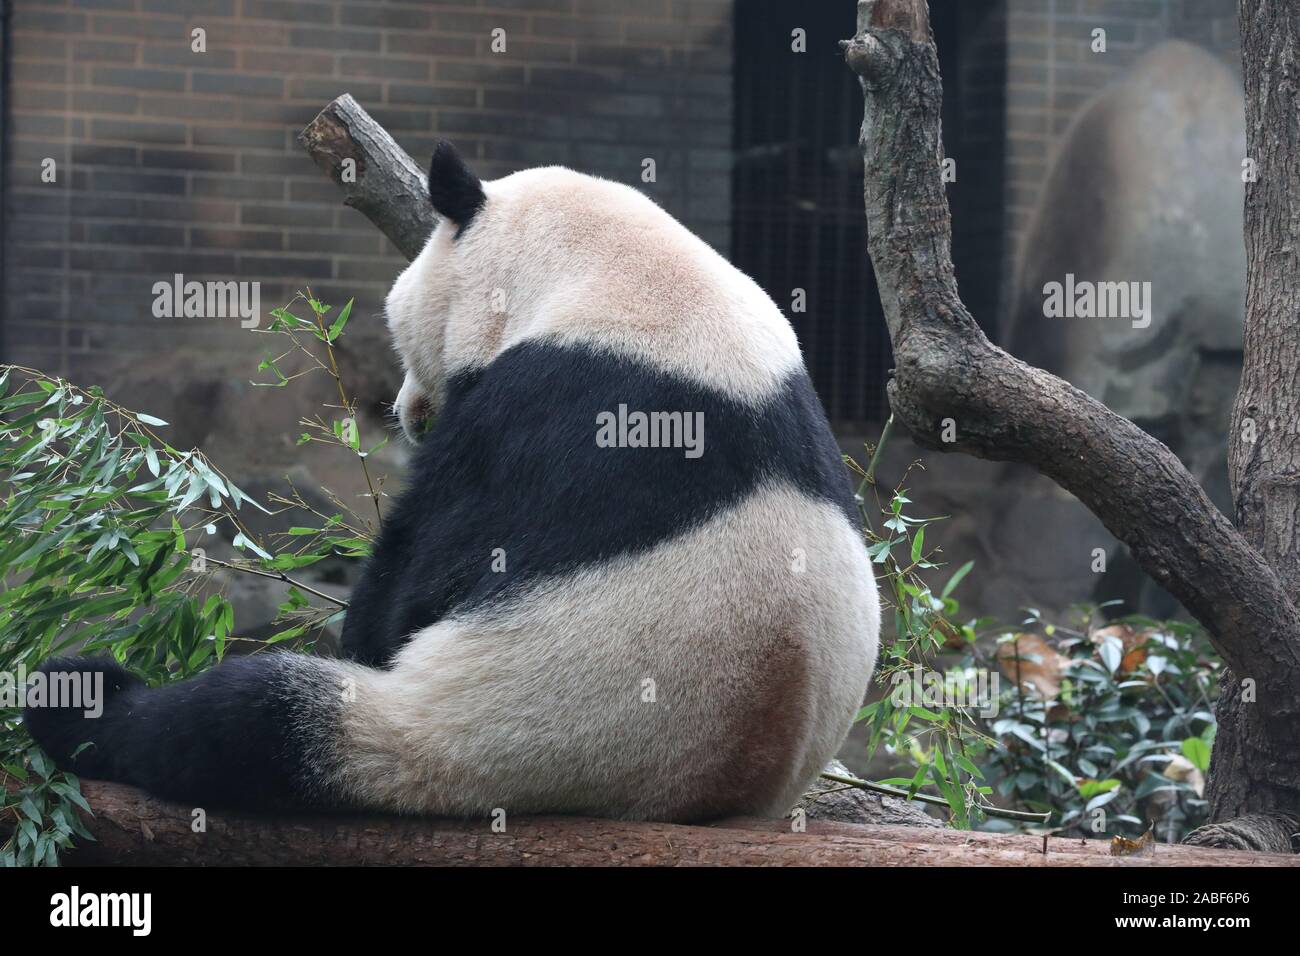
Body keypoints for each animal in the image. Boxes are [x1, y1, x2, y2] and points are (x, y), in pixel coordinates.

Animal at [25, 142, 881, 822]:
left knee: (244, 723)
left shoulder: (550, 414)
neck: (627, 279)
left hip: (481, 738)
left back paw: (83, 696)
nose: (403, 411)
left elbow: (413, 581)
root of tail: (704, 795)